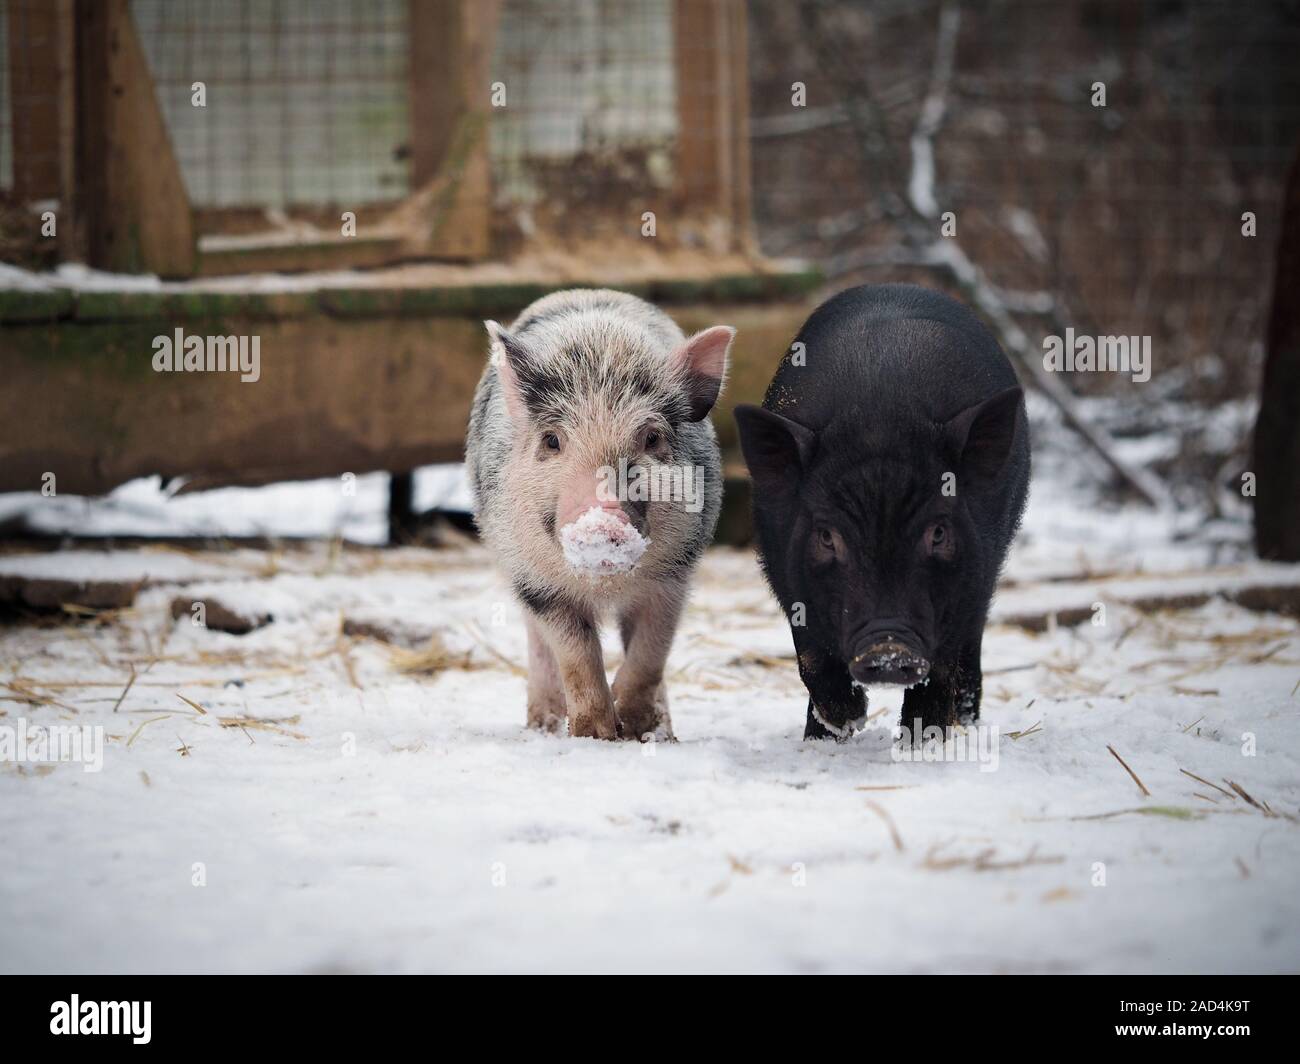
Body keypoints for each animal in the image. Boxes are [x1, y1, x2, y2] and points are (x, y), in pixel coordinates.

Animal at [466, 288, 734, 740]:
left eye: (652, 437)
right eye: (552, 440)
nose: (602, 519)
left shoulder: (675, 574)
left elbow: (649, 655)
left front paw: (638, 728)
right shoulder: (537, 582)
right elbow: (576, 657)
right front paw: (595, 734)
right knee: (537, 643)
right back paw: (543, 725)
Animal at [734, 284, 1029, 741]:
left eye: (938, 532)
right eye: (827, 536)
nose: (888, 647)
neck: (880, 418)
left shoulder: (973, 576)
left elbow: (943, 667)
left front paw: (922, 742)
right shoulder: (783, 567)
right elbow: (811, 657)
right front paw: (841, 723)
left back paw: (965, 722)